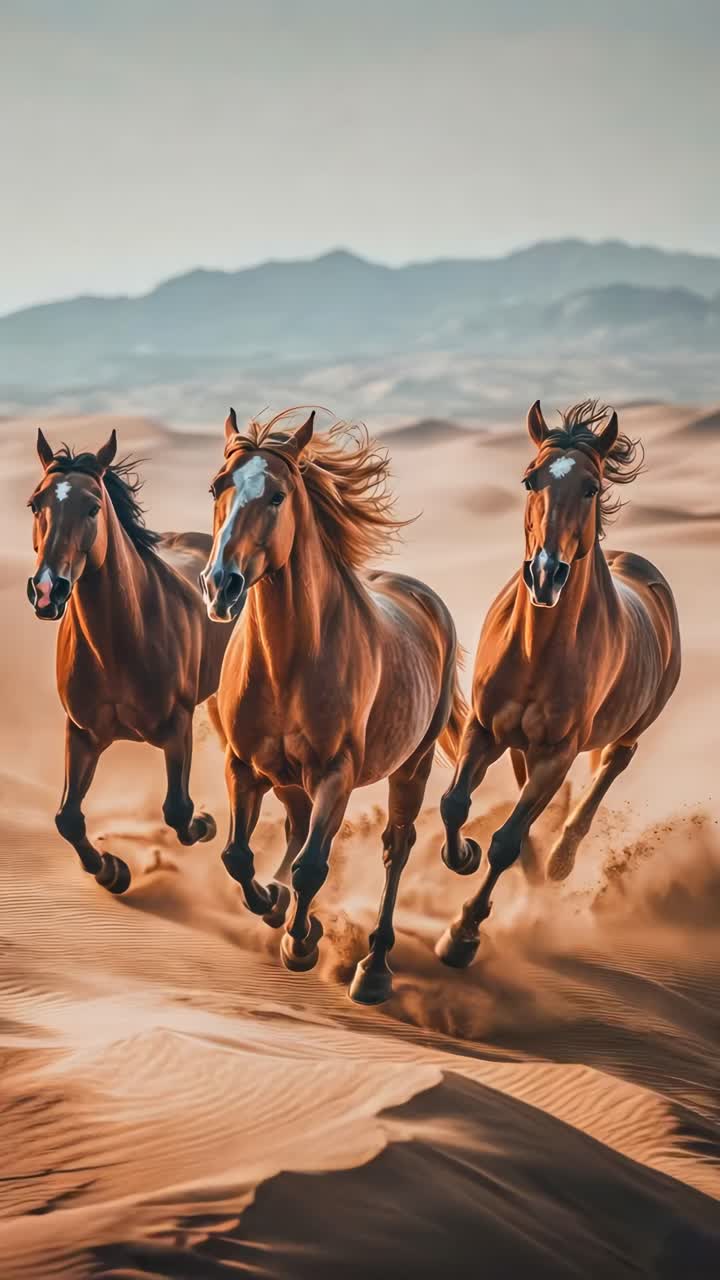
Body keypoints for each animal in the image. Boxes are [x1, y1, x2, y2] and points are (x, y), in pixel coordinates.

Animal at [27, 428, 235, 894]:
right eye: (35, 504)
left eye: (92, 507)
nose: (48, 590)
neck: (119, 648)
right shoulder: (83, 733)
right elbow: (67, 819)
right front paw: (112, 870)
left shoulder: (176, 728)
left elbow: (178, 809)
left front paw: (206, 822)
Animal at [199, 407, 466, 1004]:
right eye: (218, 487)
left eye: (277, 495)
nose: (221, 585)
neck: (288, 665)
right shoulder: (243, 766)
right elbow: (236, 856)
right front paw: (274, 906)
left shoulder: (335, 776)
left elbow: (311, 868)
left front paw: (301, 943)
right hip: (289, 781)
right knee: (297, 833)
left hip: (409, 768)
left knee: (396, 848)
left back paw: (374, 968)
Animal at [435, 399, 681, 969]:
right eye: (530, 480)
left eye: (590, 488)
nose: (546, 574)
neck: (538, 652)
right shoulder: (485, 729)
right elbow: (455, 805)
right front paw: (462, 855)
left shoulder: (558, 753)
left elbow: (506, 842)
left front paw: (462, 934)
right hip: (519, 746)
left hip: (629, 729)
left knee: (613, 764)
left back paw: (560, 860)